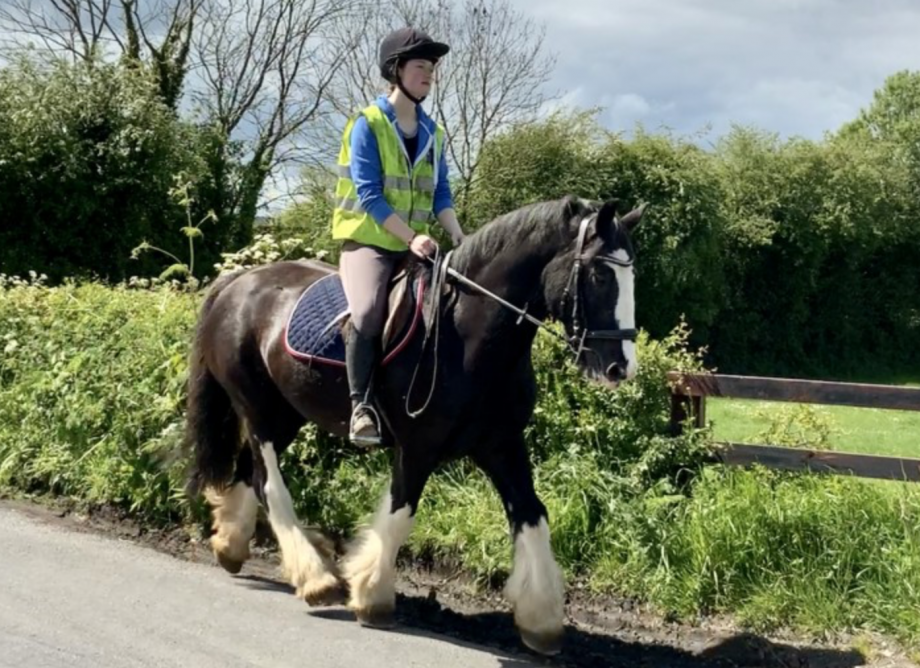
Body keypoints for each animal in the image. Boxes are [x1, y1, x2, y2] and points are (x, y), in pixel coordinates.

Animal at [184, 194, 645, 656]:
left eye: (631, 275)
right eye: (599, 274)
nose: (621, 368)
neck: (466, 336)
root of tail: (240, 280)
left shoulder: (502, 446)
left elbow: (533, 516)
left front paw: (542, 621)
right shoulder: (418, 446)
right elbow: (401, 511)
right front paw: (371, 595)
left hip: (285, 415)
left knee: (248, 472)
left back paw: (230, 545)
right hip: (257, 409)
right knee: (269, 483)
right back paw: (316, 578)